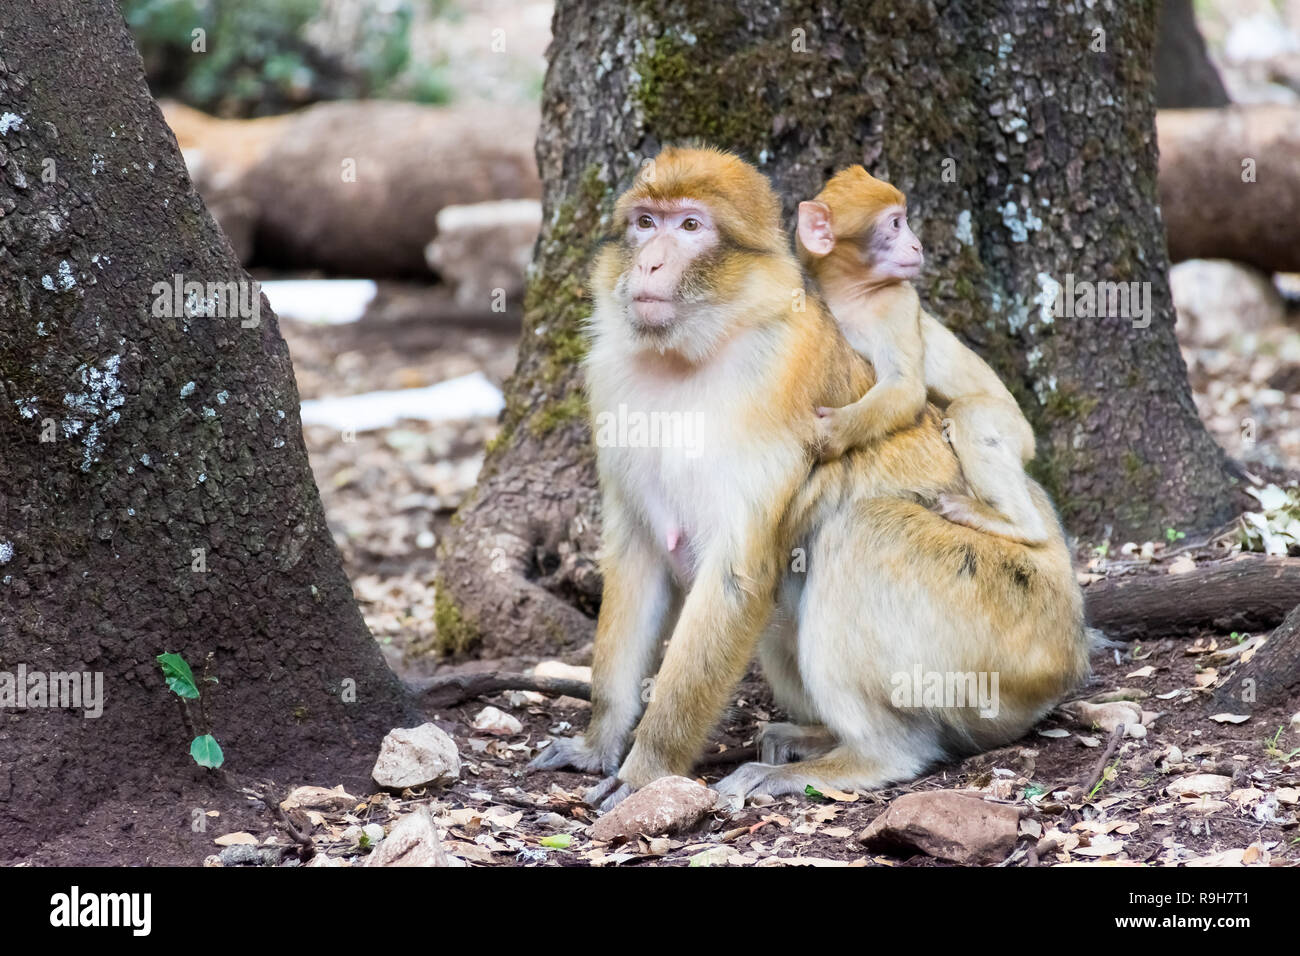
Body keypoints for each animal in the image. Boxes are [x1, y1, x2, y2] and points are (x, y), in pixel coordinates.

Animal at [796, 166, 1049, 545]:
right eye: (895, 224)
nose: (918, 244)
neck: (852, 294)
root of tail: (1031, 441)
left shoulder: (898, 302)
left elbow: (906, 388)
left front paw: (834, 432)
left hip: (1014, 428)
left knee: (971, 414)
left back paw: (1016, 525)